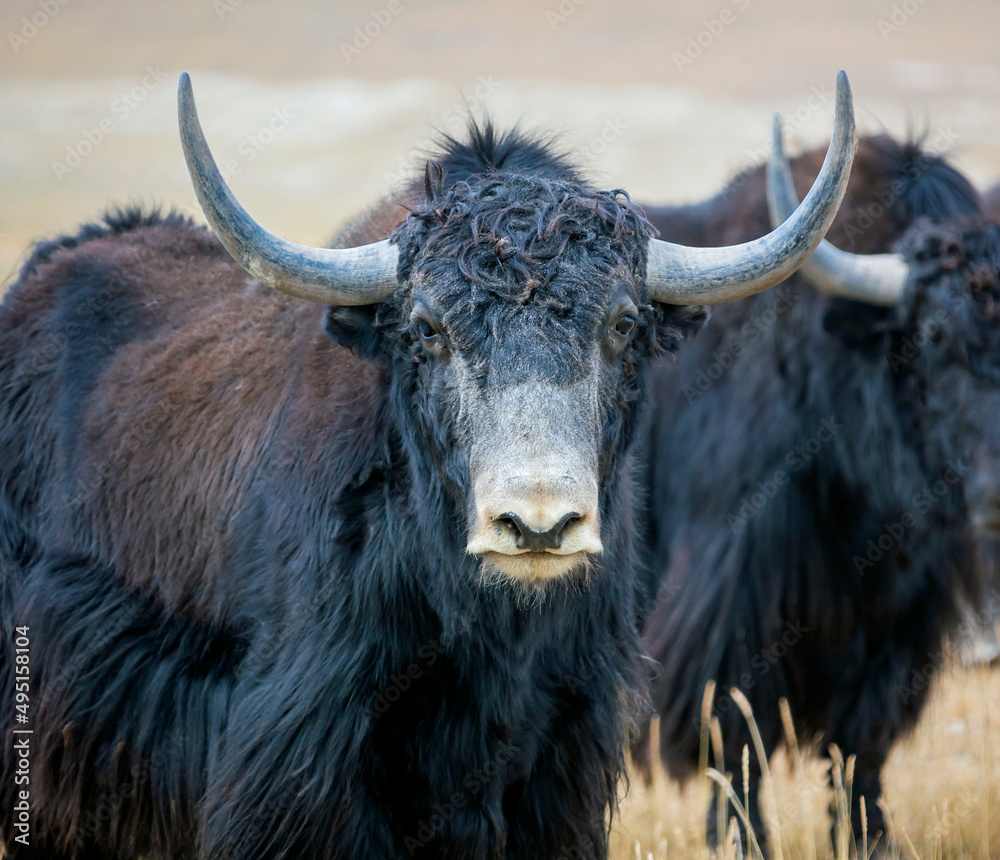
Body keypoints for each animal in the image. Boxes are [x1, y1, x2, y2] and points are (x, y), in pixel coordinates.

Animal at [632, 119, 992, 852]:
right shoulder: (730, 604)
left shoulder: (896, 627)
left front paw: (872, 842)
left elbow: (862, 748)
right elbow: (733, 735)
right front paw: (741, 844)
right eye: (934, 334)